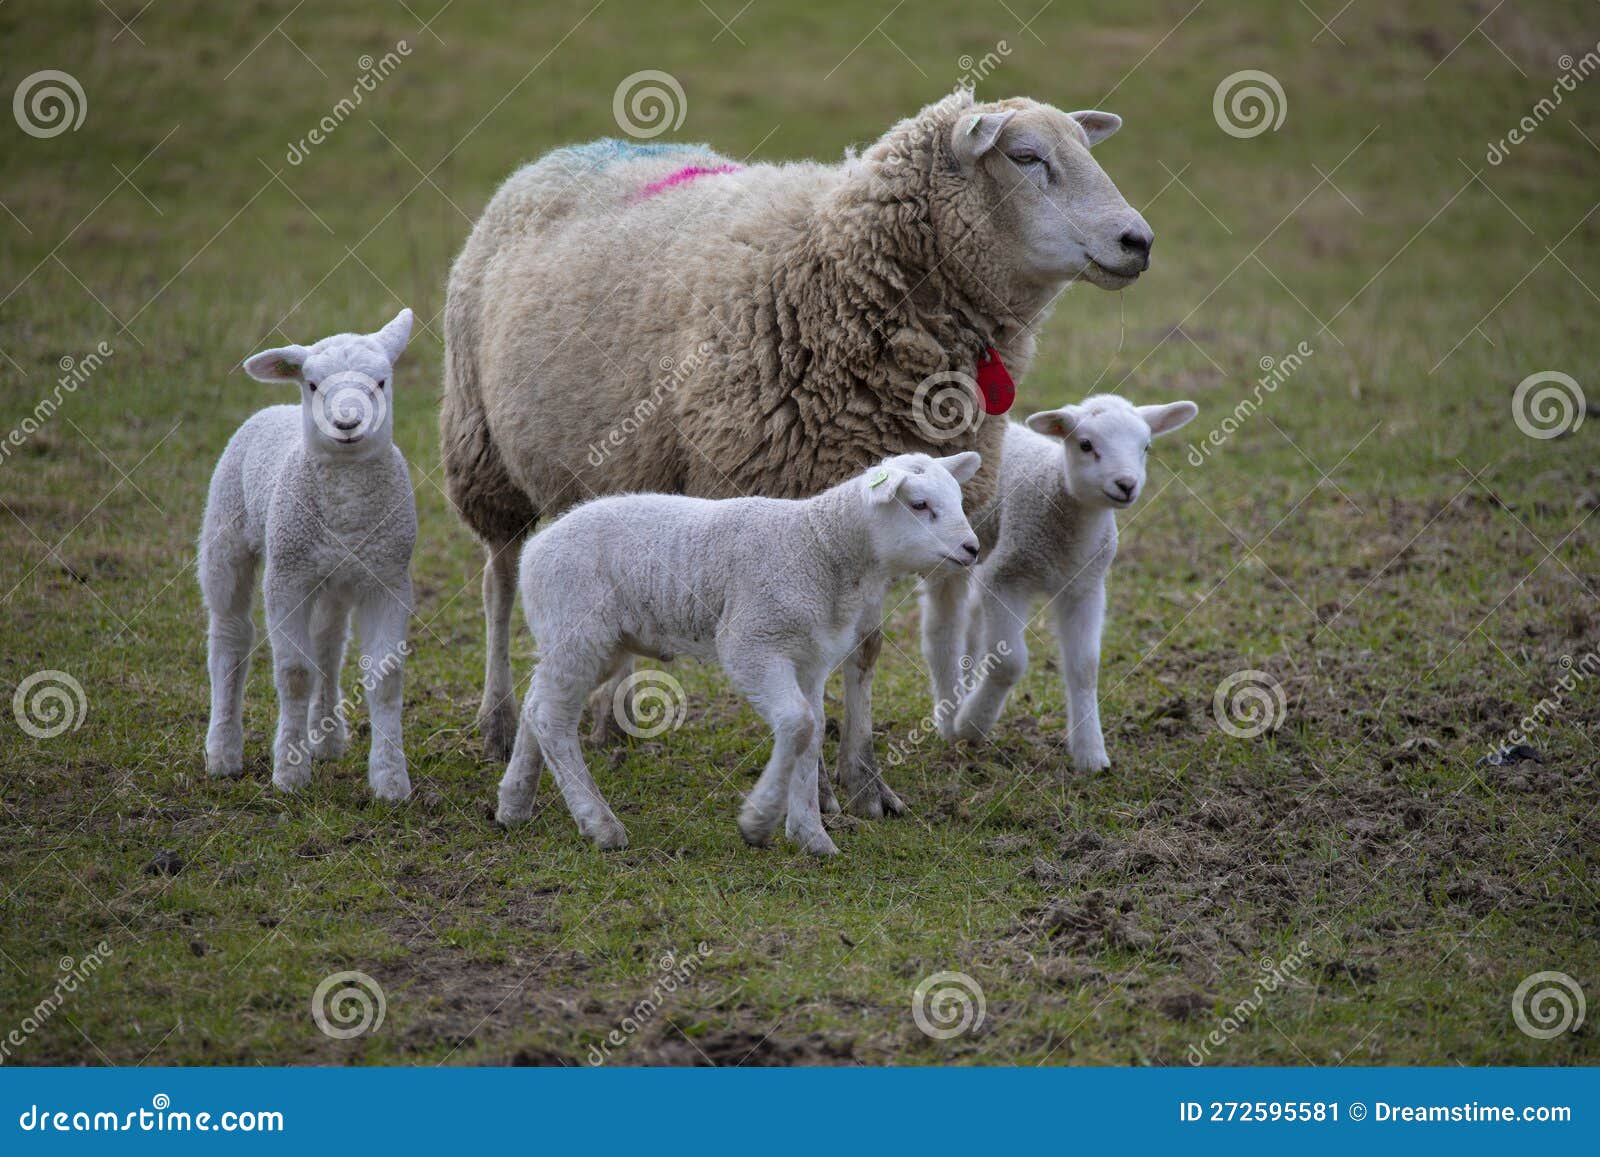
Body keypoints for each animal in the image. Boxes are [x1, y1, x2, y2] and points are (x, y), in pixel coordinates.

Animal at [200, 309, 418, 801]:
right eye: (314, 385)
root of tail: (274, 410)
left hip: (333, 575)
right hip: (226, 534)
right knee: (230, 635)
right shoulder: (287, 577)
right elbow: (295, 674)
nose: (347, 424)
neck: (348, 500)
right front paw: (289, 774)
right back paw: (222, 751)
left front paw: (391, 780)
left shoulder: (389, 578)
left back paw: (326, 739)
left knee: (328, 646)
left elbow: (385, 679)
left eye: (380, 382)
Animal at [494, 451, 984, 856]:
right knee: (551, 716)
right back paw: (599, 824)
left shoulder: (811, 659)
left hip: (587, 639)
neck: (821, 545)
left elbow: (812, 733)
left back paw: (513, 804)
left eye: (958, 499)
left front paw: (811, 836)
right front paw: (758, 820)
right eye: (919, 505)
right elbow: (797, 722)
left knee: (536, 703)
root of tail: (534, 549)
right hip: (578, 627)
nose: (972, 549)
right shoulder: (751, 642)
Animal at [920, 394, 1196, 771]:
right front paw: (972, 724)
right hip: (948, 552)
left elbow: (1085, 667)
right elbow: (1009, 663)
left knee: (972, 625)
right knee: (943, 630)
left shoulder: (1085, 587)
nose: (1126, 485)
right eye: (1086, 444)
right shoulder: (1007, 575)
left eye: (1146, 447)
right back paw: (950, 719)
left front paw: (1091, 753)